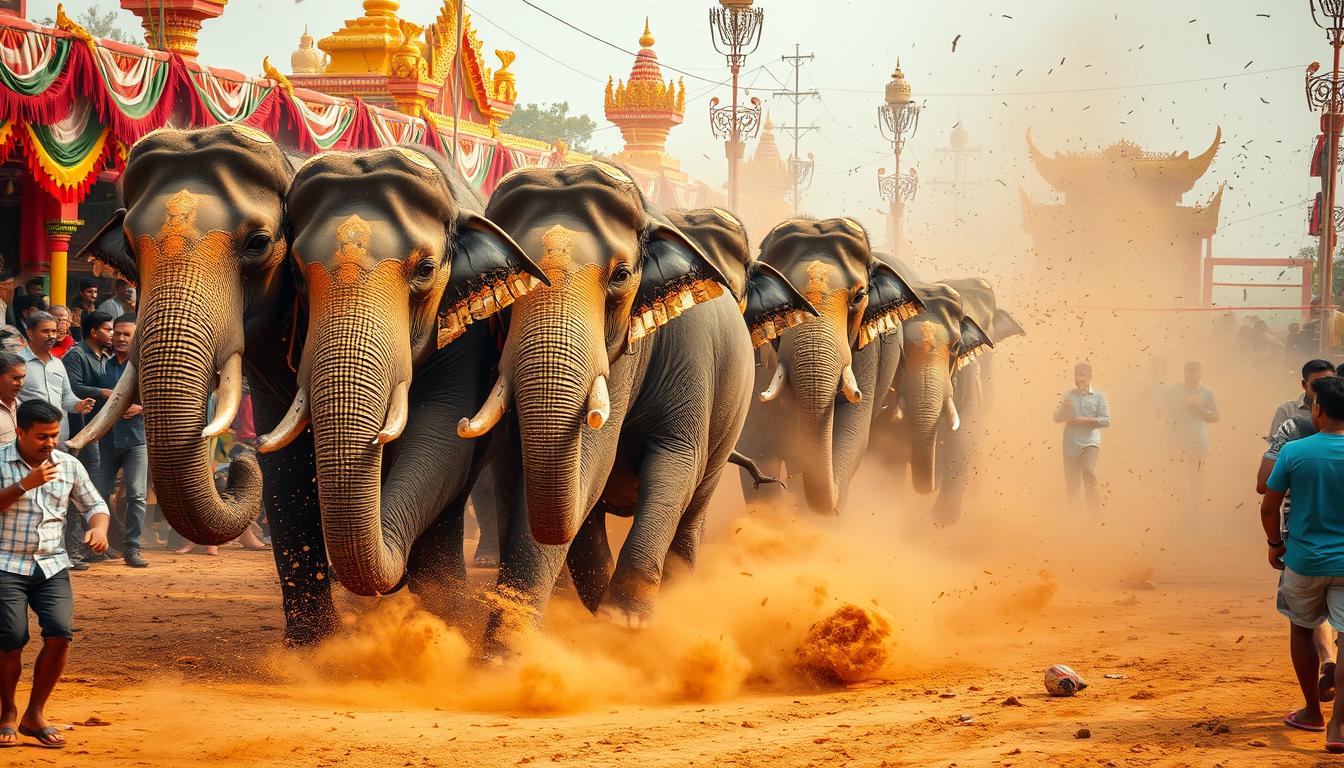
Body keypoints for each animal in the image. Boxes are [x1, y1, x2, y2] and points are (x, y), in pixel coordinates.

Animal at [456, 164, 812, 643]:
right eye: (512, 279)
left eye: (621, 275)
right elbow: (567, 474)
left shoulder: (688, 357)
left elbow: (673, 459)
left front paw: (624, 621)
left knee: (694, 505)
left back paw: (680, 594)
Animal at [735, 218, 921, 516]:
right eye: (782, 302)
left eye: (858, 297)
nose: (836, 508)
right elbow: (757, 444)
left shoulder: (869, 353)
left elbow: (851, 435)